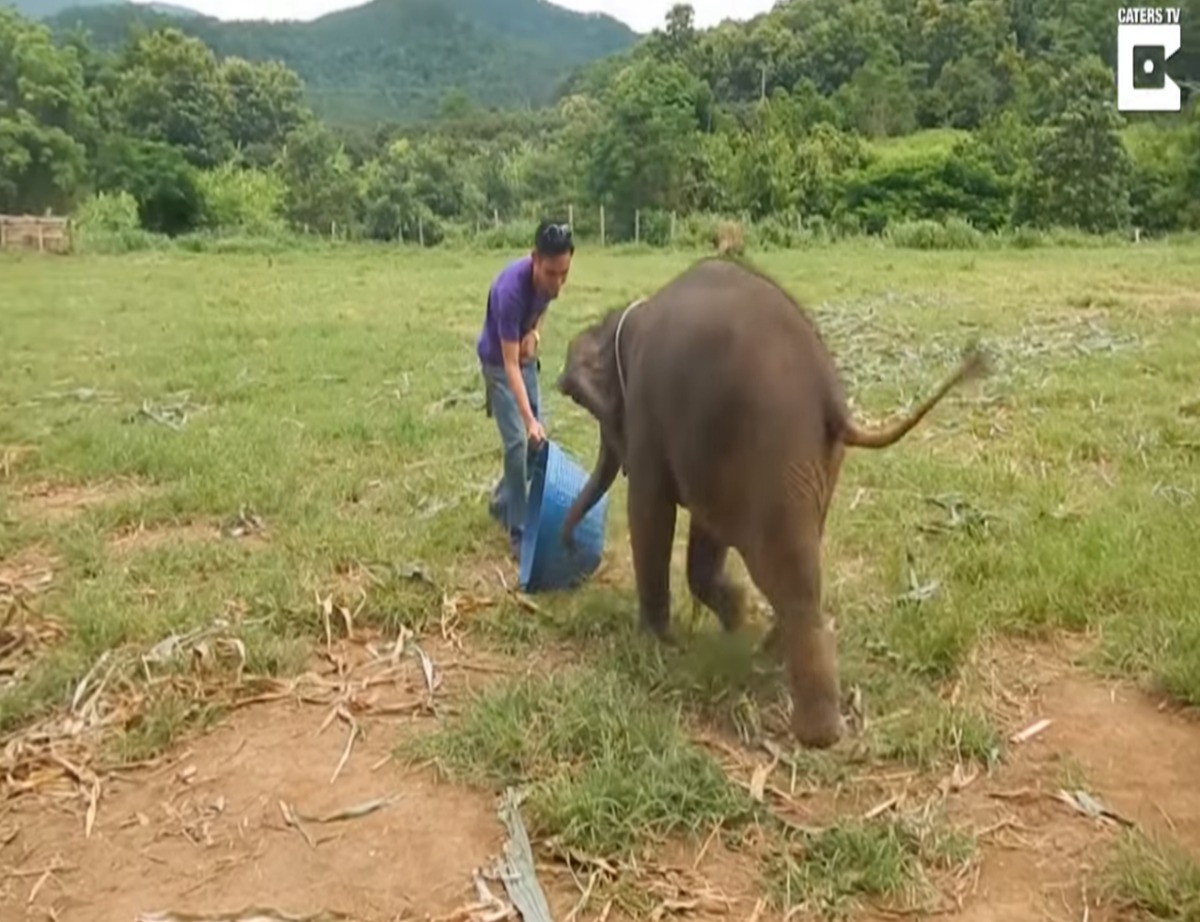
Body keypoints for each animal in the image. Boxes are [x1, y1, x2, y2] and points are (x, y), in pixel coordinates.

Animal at [555, 256, 987, 750]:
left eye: (588, 404)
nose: (569, 549)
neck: (630, 316)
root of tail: (833, 398)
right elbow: (706, 532)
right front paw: (735, 619)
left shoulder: (648, 411)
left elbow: (649, 511)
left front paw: (656, 644)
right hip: (818, 464)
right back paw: (767, 652)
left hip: (778, 451)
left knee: (787, 573)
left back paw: (816, 731)